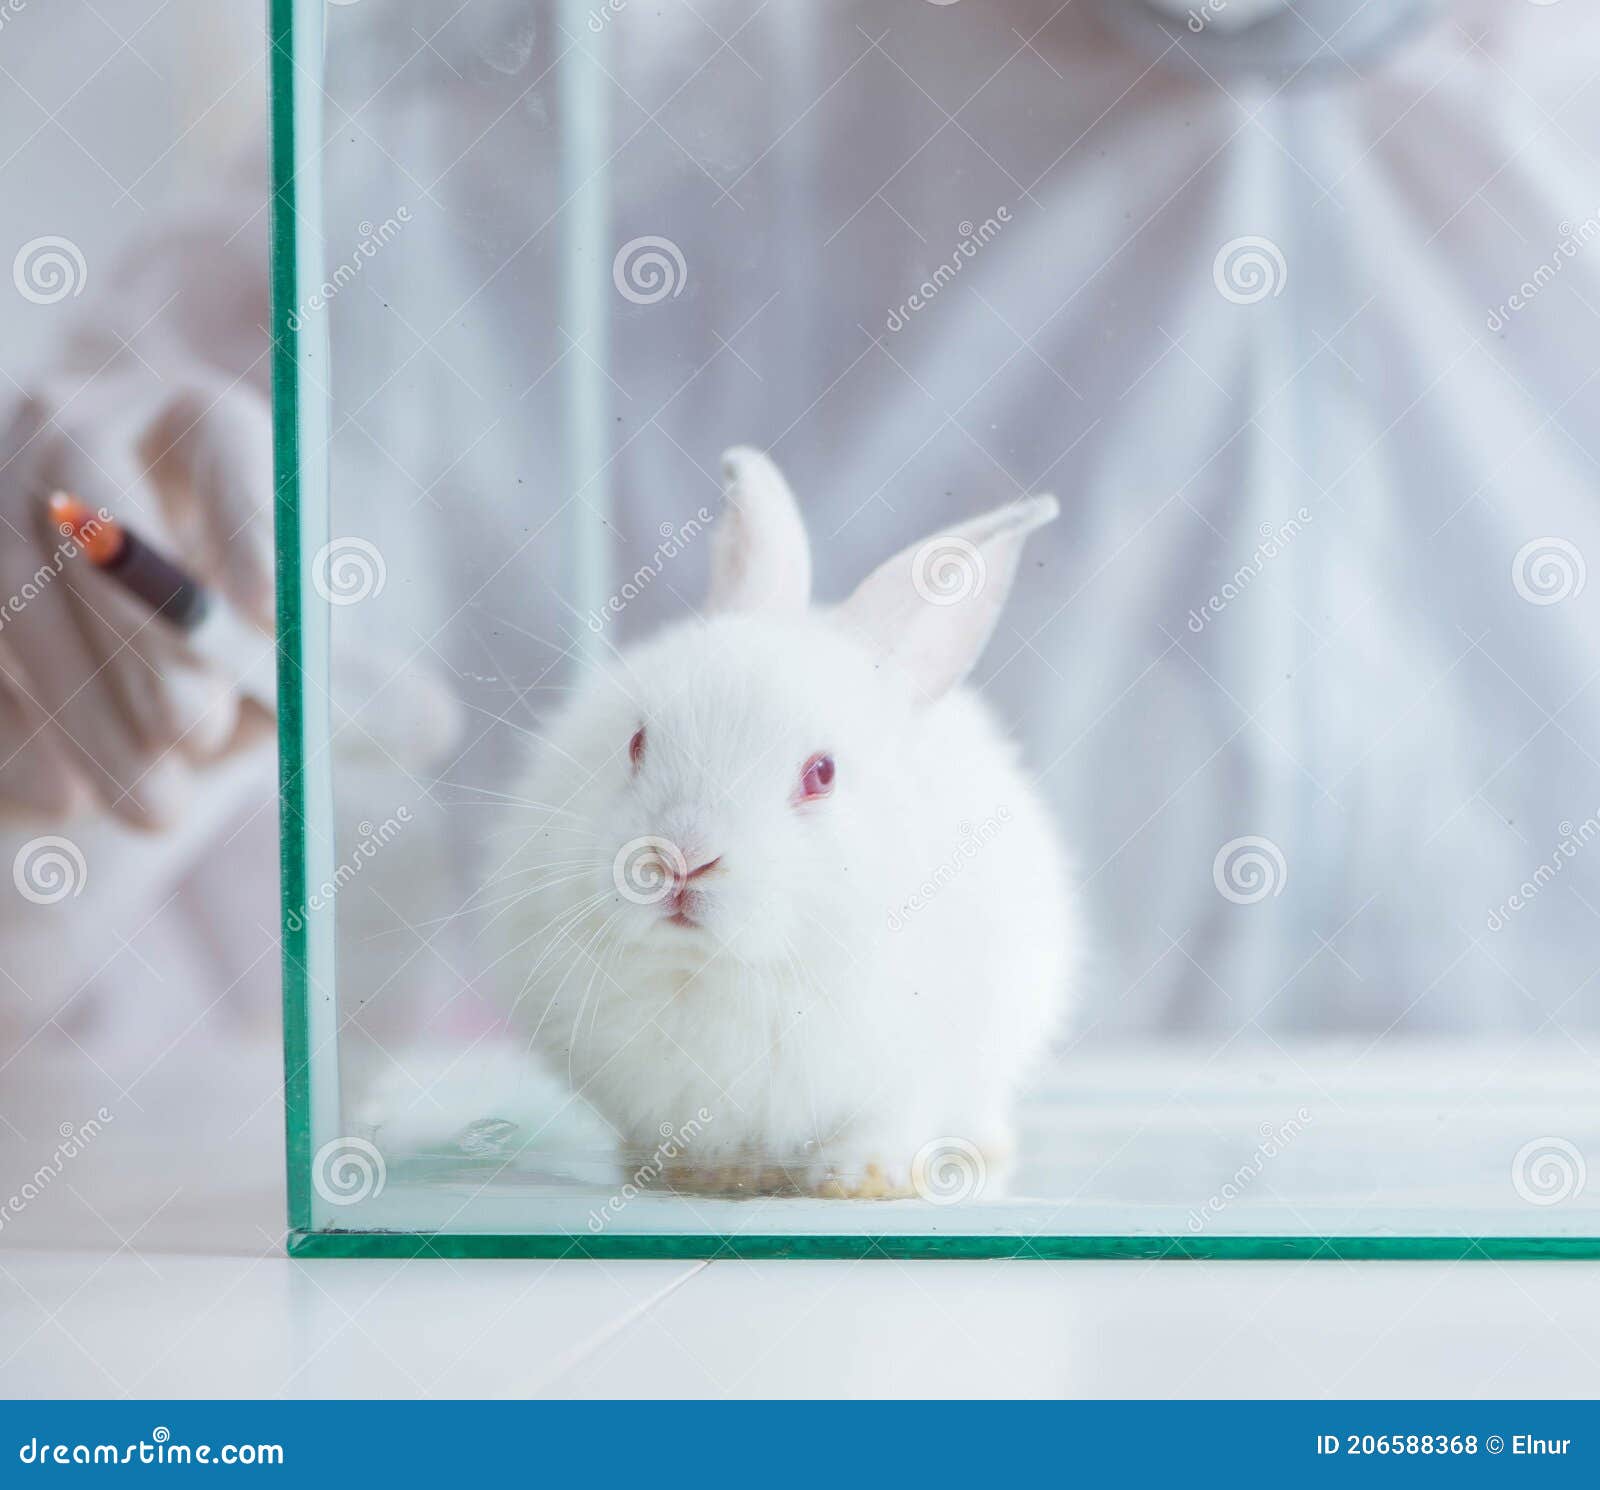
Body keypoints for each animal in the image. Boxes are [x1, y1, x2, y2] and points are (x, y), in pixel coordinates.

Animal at [492, 447, 1079, 1200]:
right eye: (636, 742)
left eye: (822, 774)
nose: (681, 860)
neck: (724, 970)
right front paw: (710, 1175)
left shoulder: (919, 1063)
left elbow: (885, 1122)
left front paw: (860, 1180)